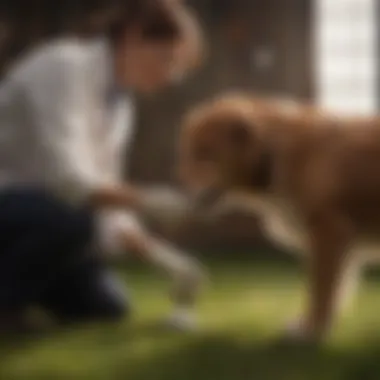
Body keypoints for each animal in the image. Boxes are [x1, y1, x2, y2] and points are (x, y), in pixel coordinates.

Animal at [177, 93, 380, 342]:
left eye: (206, 152)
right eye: (188, 152)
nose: (184, 195)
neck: (273, 153)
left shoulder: (328, 234)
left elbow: (320, 290)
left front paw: (310, 331)